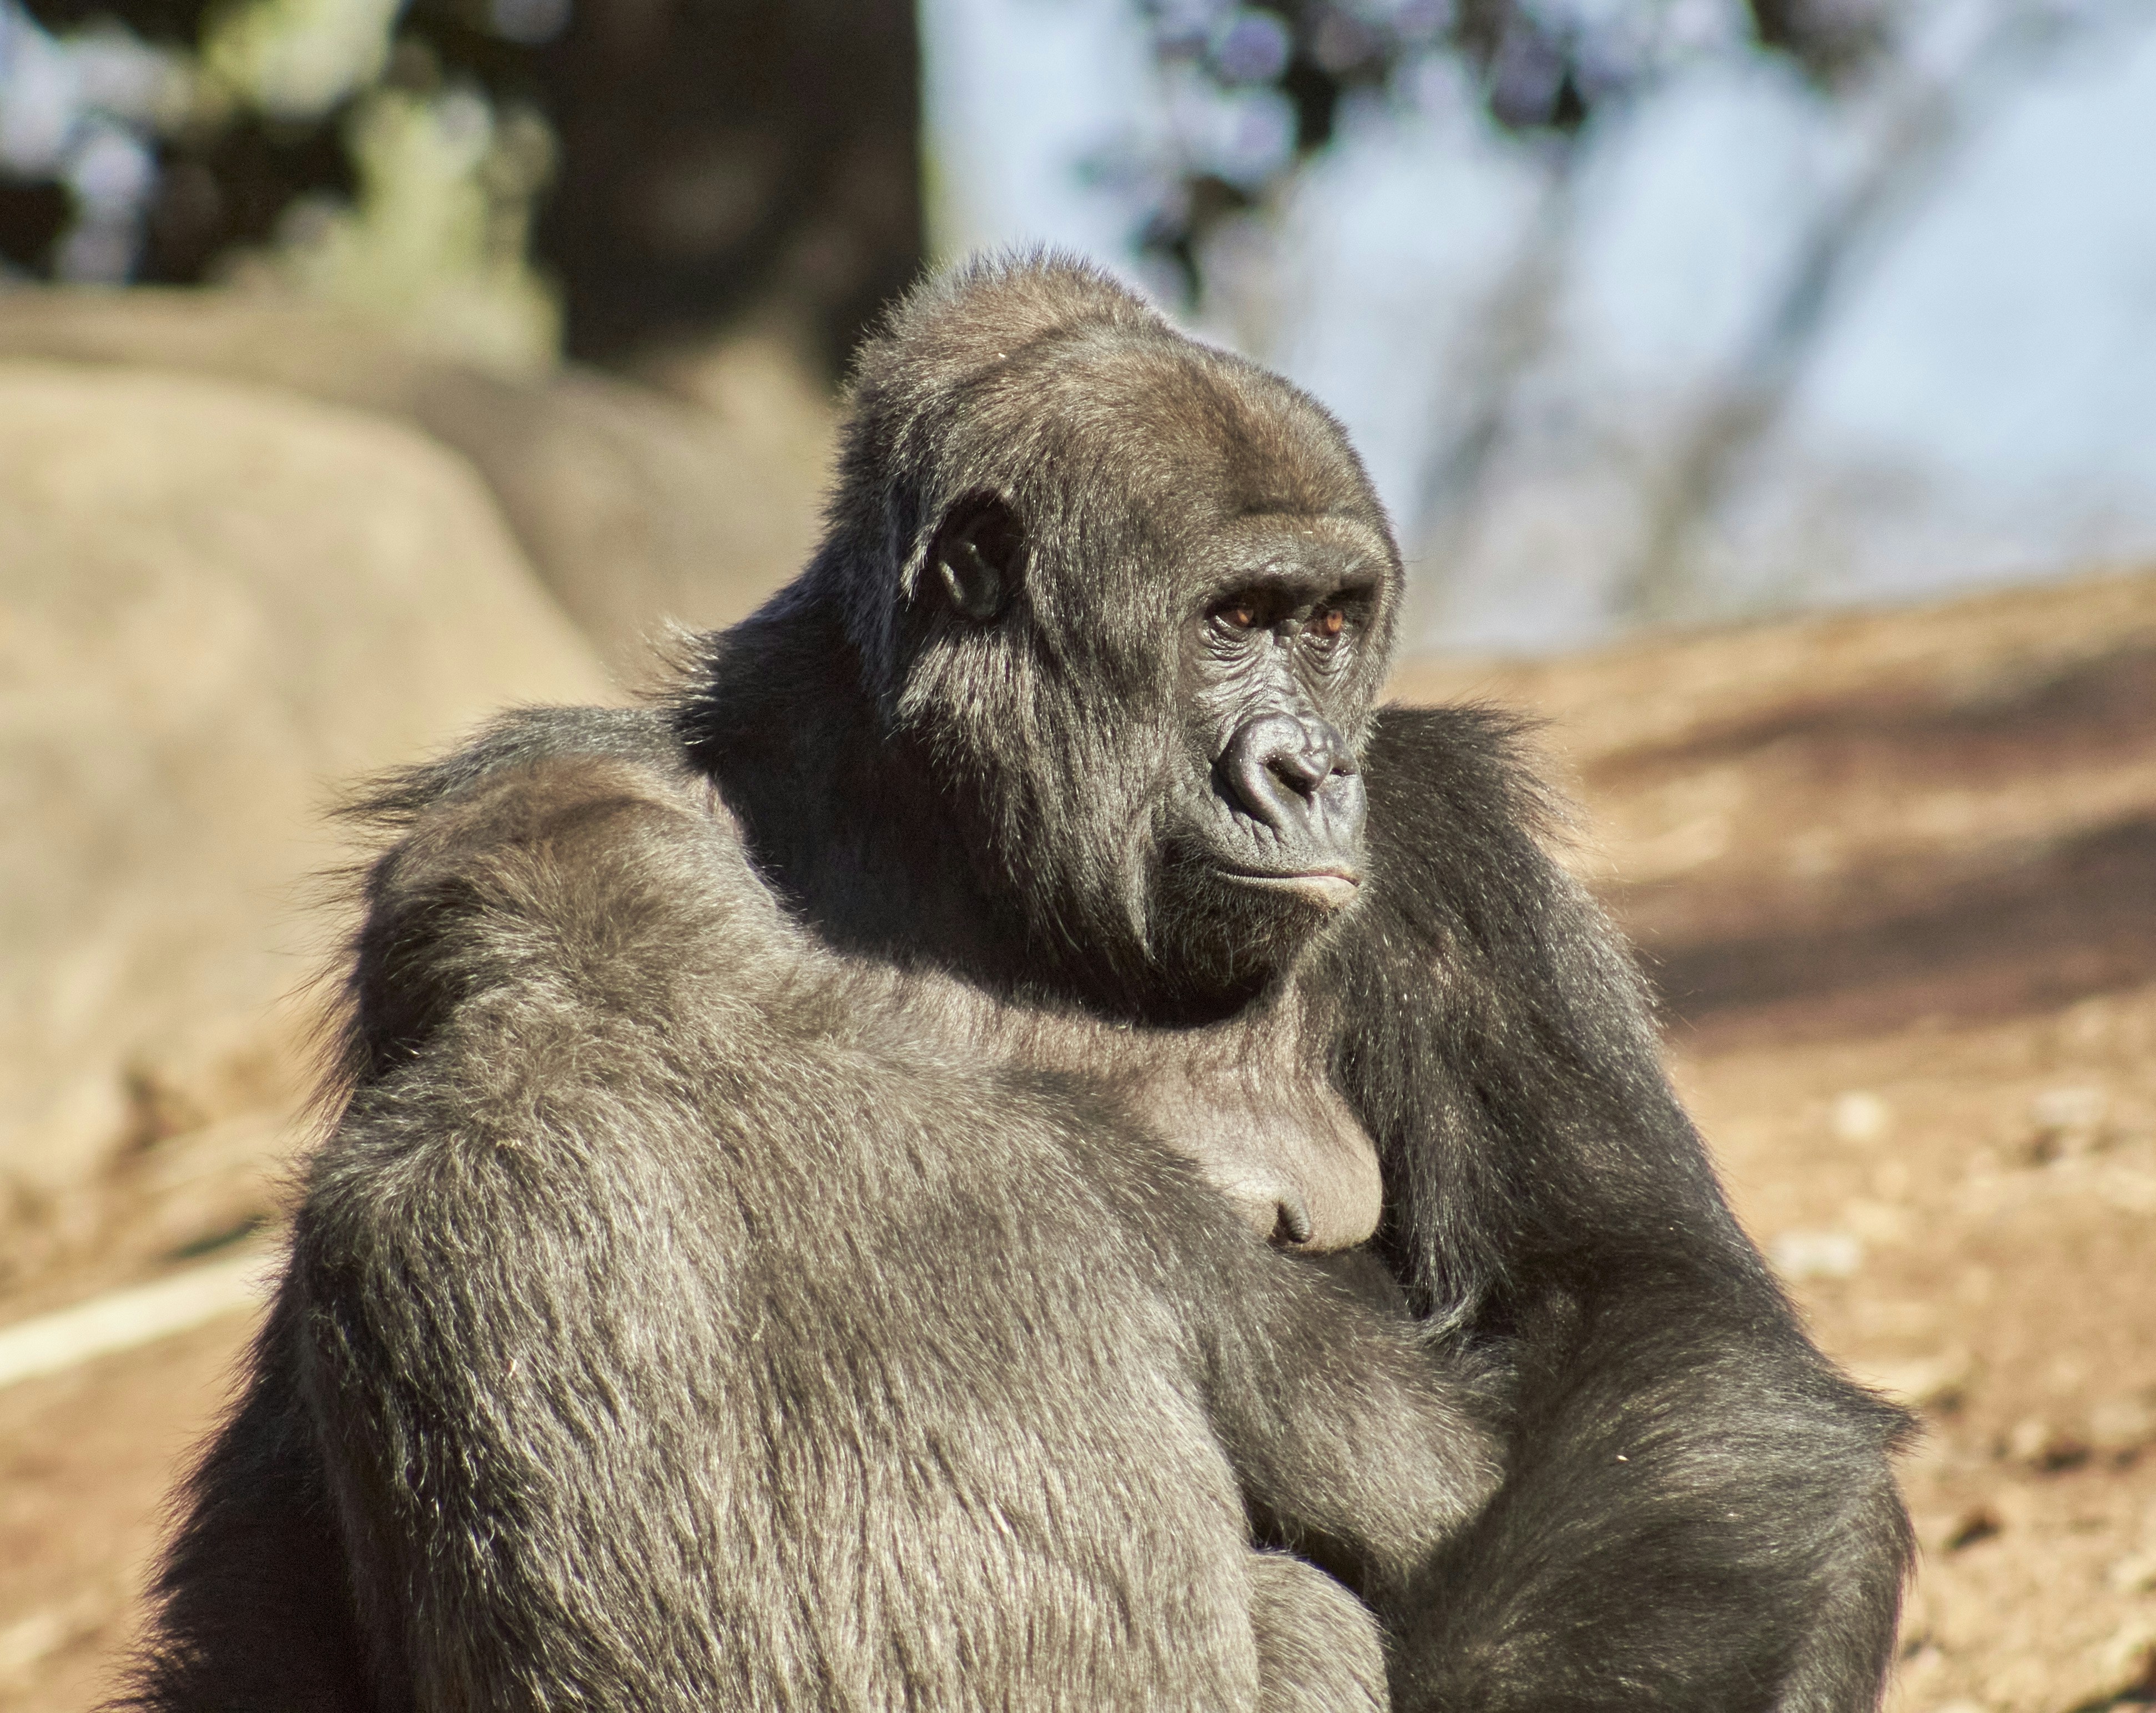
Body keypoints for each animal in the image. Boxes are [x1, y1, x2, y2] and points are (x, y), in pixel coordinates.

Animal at [121, 253, 1912, 1713]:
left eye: (1331, 622)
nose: (1307, 772)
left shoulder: (1444, 845)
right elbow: (282, 1564)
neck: (953, 810)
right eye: (1233, 618)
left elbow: (1650, 1324)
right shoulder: (505, 808)